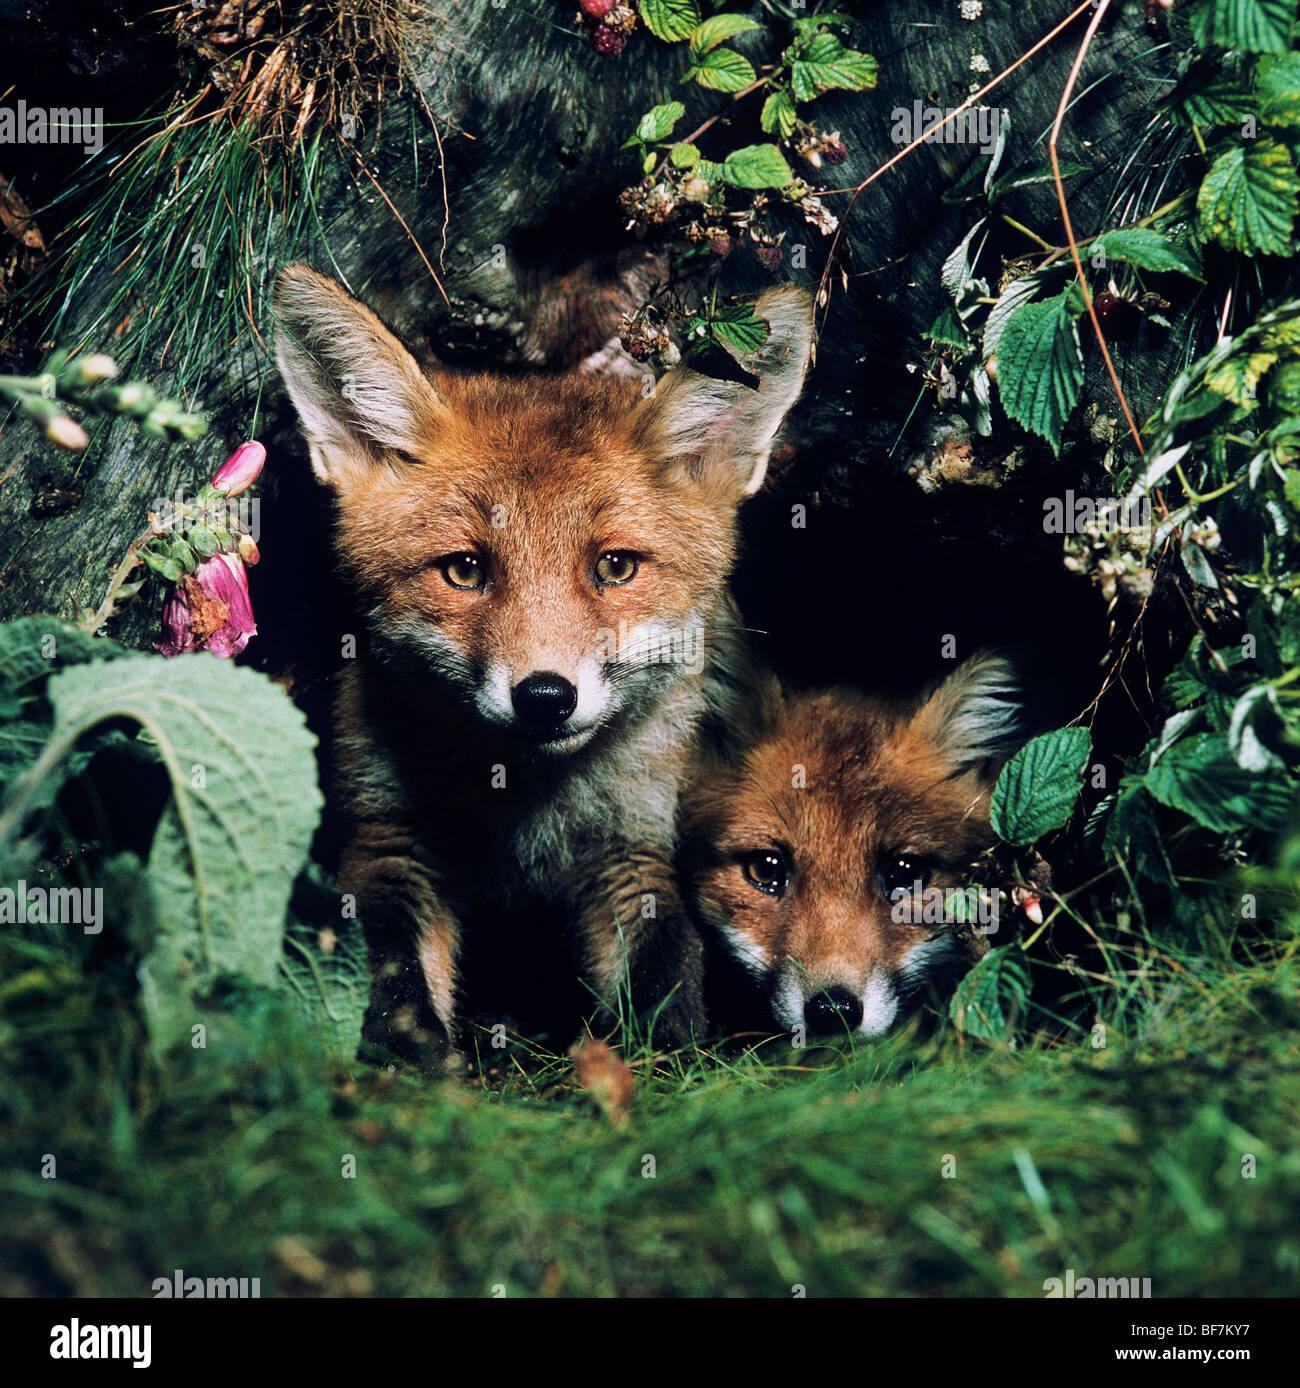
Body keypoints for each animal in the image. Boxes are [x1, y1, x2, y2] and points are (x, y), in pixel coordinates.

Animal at [272, 263, 814, 1071]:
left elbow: (666, 980)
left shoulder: (635, 850)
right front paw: (412, 1060)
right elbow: (391, 971)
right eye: (465, 571)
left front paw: (669, 1067)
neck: (522, 808)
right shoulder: (389, 836)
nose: (546, 697)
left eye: (614, 567)